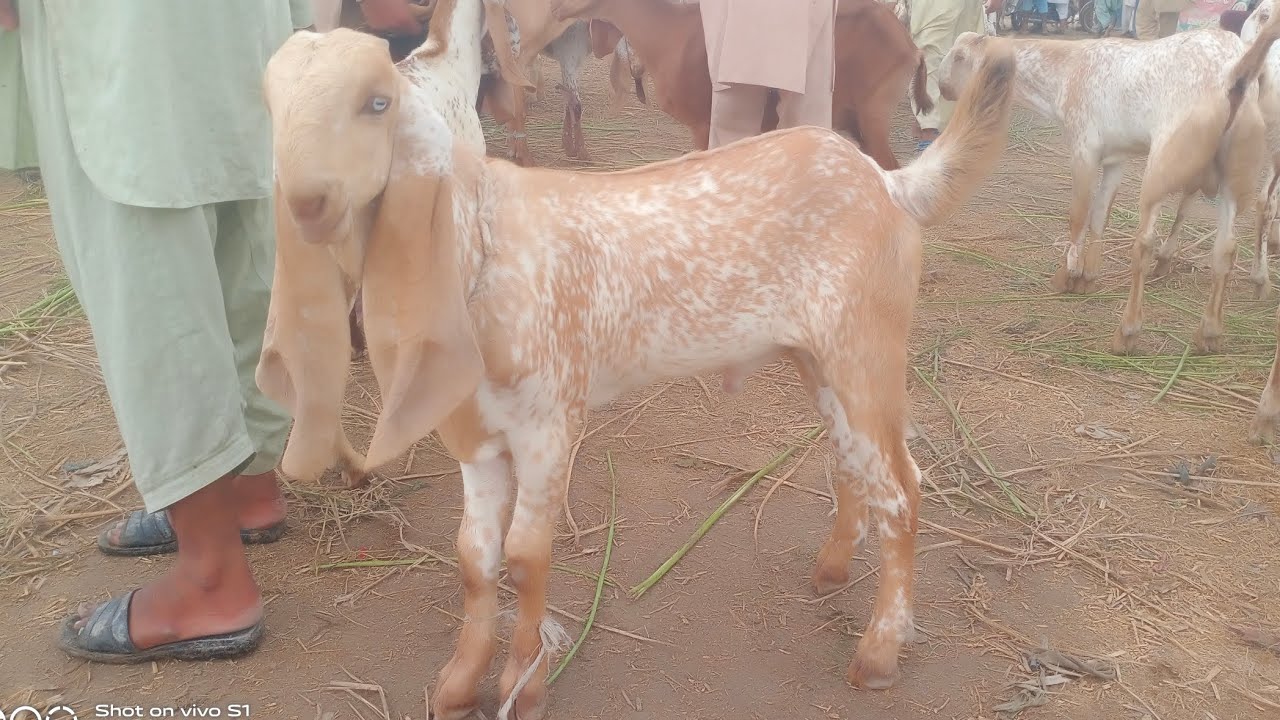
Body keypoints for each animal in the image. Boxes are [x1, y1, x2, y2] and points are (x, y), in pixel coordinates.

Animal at [258, 26, 1017, 719]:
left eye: (377, 102)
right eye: (271, 103)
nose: (306, 201)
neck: (484, 241)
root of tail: (885, 181)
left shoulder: (550, 422)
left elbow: (526, 555)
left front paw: (523, 684)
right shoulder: (473, 431)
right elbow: (475, 556)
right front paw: (457, 683)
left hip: (867, 349)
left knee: (902, 488)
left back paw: (879, 653)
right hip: (819, 358)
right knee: (852, 461)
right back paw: (830, 570)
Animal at [939, 23, 1280, 357]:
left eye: (959, 56)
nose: (943, 88)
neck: (1065, 69)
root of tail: (1235, 70)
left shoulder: (1083, 148)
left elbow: (1078, 215)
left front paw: (1066, 277)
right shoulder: (1117, 158)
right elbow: (1101, 213)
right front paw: (1088, 276)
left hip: (1164, 163)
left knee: (1145, 243)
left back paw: (1128, 332)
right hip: (1235, 172)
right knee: (1226, 248)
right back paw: (1210, 332)